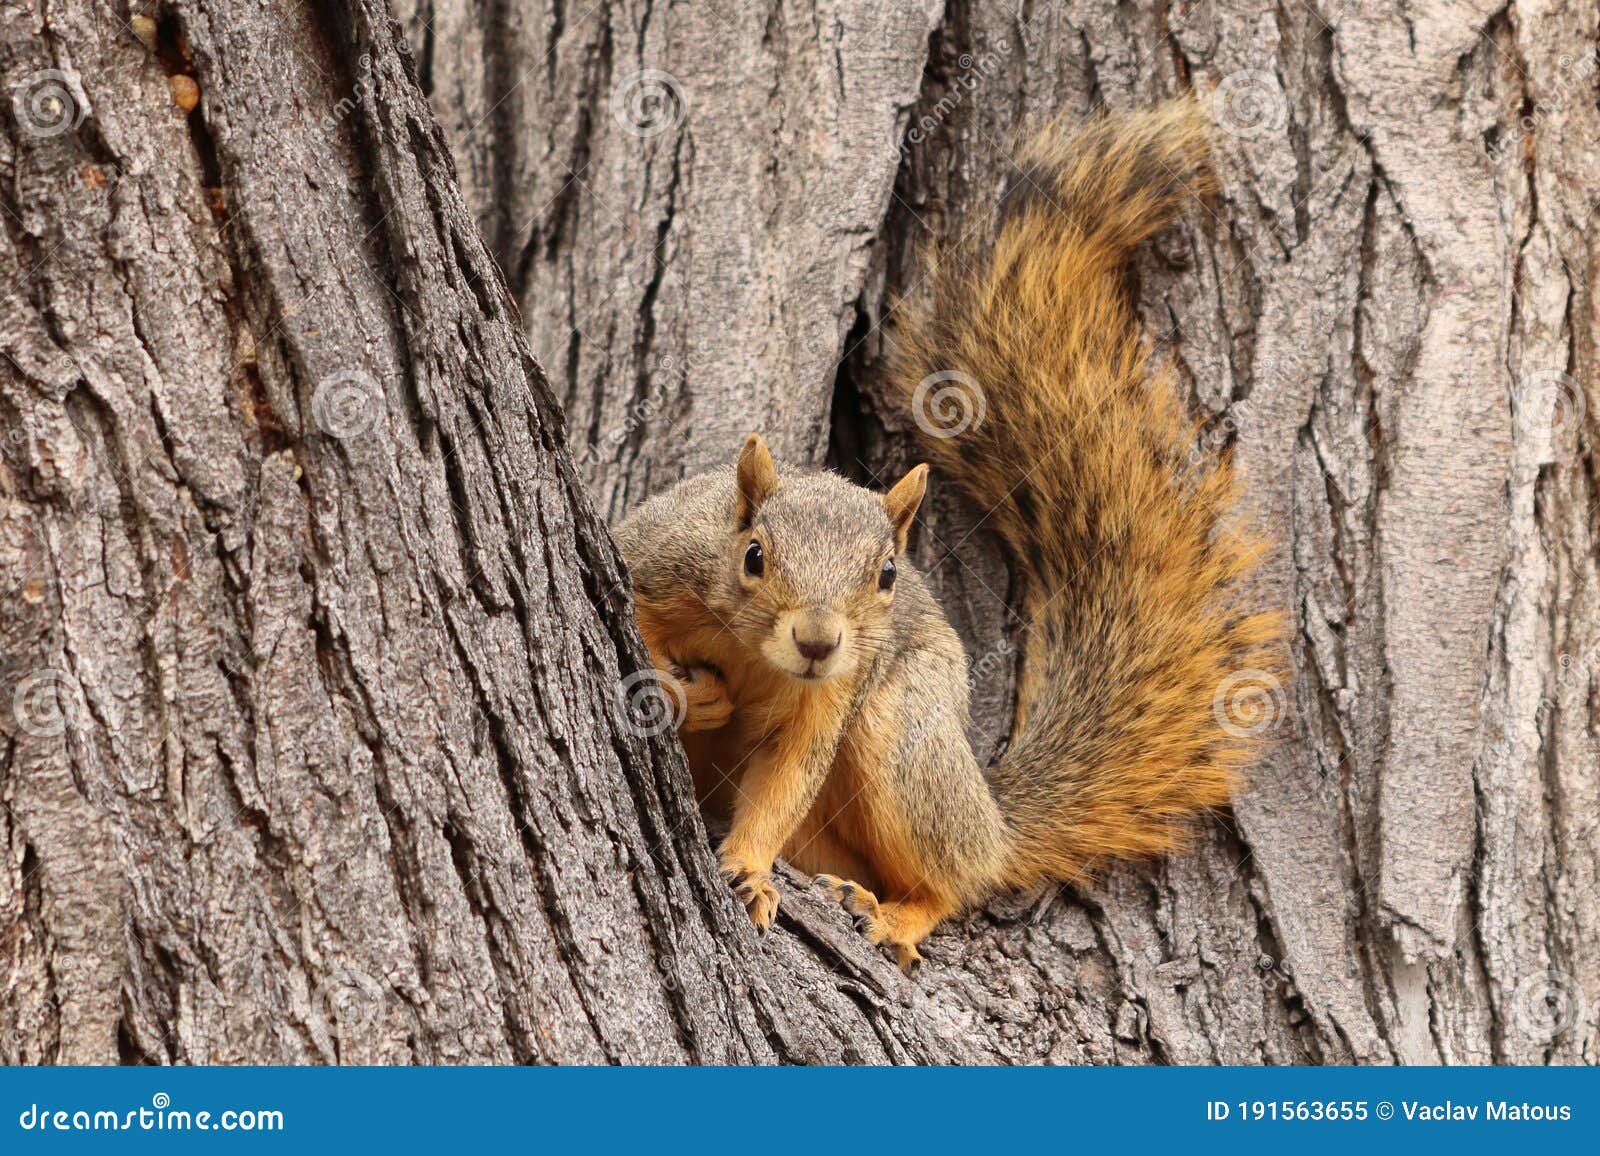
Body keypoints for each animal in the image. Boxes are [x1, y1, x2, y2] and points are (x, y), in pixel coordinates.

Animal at [613, 99, 1283, 976]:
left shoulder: (831, 700)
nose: (819, 641)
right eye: (753, 557)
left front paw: (751, 870)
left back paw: (896, 913)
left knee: (956, 875)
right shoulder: (658, 559)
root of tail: (994, 820)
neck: (756, 655)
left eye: (888, 575)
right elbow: (642, 628)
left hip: (902, 726)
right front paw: (693, 690)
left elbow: (786, 780)